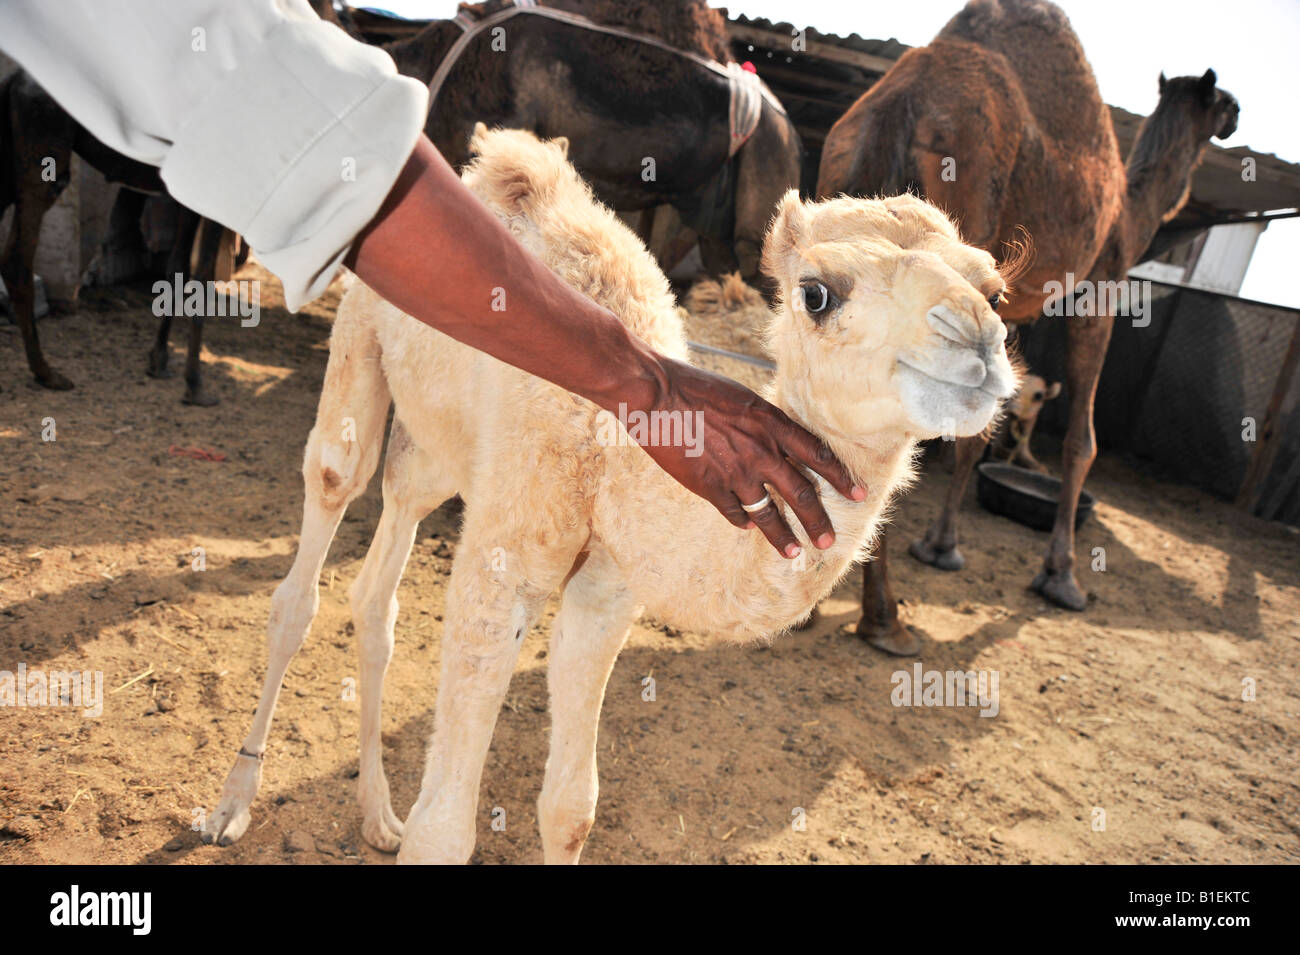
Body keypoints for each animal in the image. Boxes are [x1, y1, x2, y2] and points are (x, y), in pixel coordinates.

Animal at [199, 125, 1018, 863]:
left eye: (993, 288)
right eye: (818, 293)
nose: (978, 339)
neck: (608, 457)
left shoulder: (606, 590)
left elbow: (571, 810)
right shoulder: (506, 563)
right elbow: (444, 832)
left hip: (438, 449)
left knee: (382, 576)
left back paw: (376, 814)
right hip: (359, 344)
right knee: (316, 540)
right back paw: (232, 805)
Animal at [817, 0, 1238, 647]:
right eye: (1218, 102)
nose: (1237, 112)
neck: (1131, 212)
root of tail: (897, 106)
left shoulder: (1003, 304)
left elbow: (981, 429)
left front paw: (941, 546)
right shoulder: (1102, 286)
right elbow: (1079, 438)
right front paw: (1062, 577)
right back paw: (883, 617)